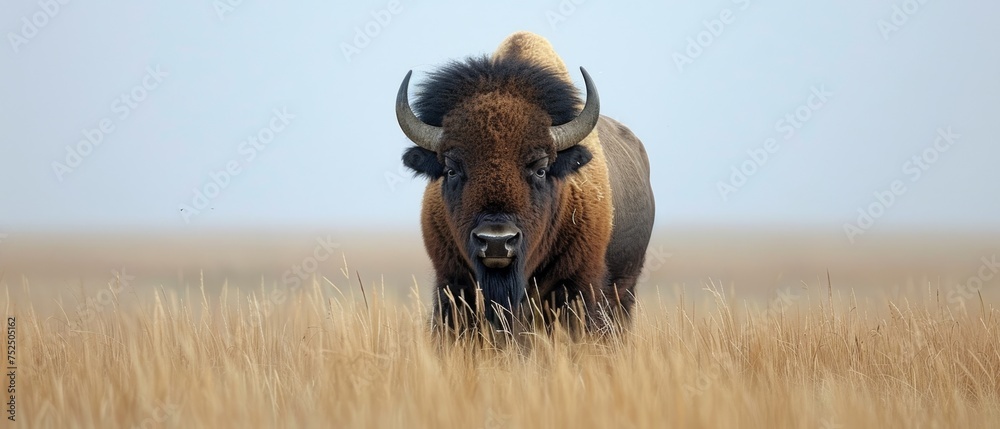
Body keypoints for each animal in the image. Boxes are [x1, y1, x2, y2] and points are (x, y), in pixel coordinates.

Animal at [396, 32, 655, 336]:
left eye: (541, 169)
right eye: (451, 170)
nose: (496, 242)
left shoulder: (577, 287)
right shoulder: (453, 284)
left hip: (624, 290)